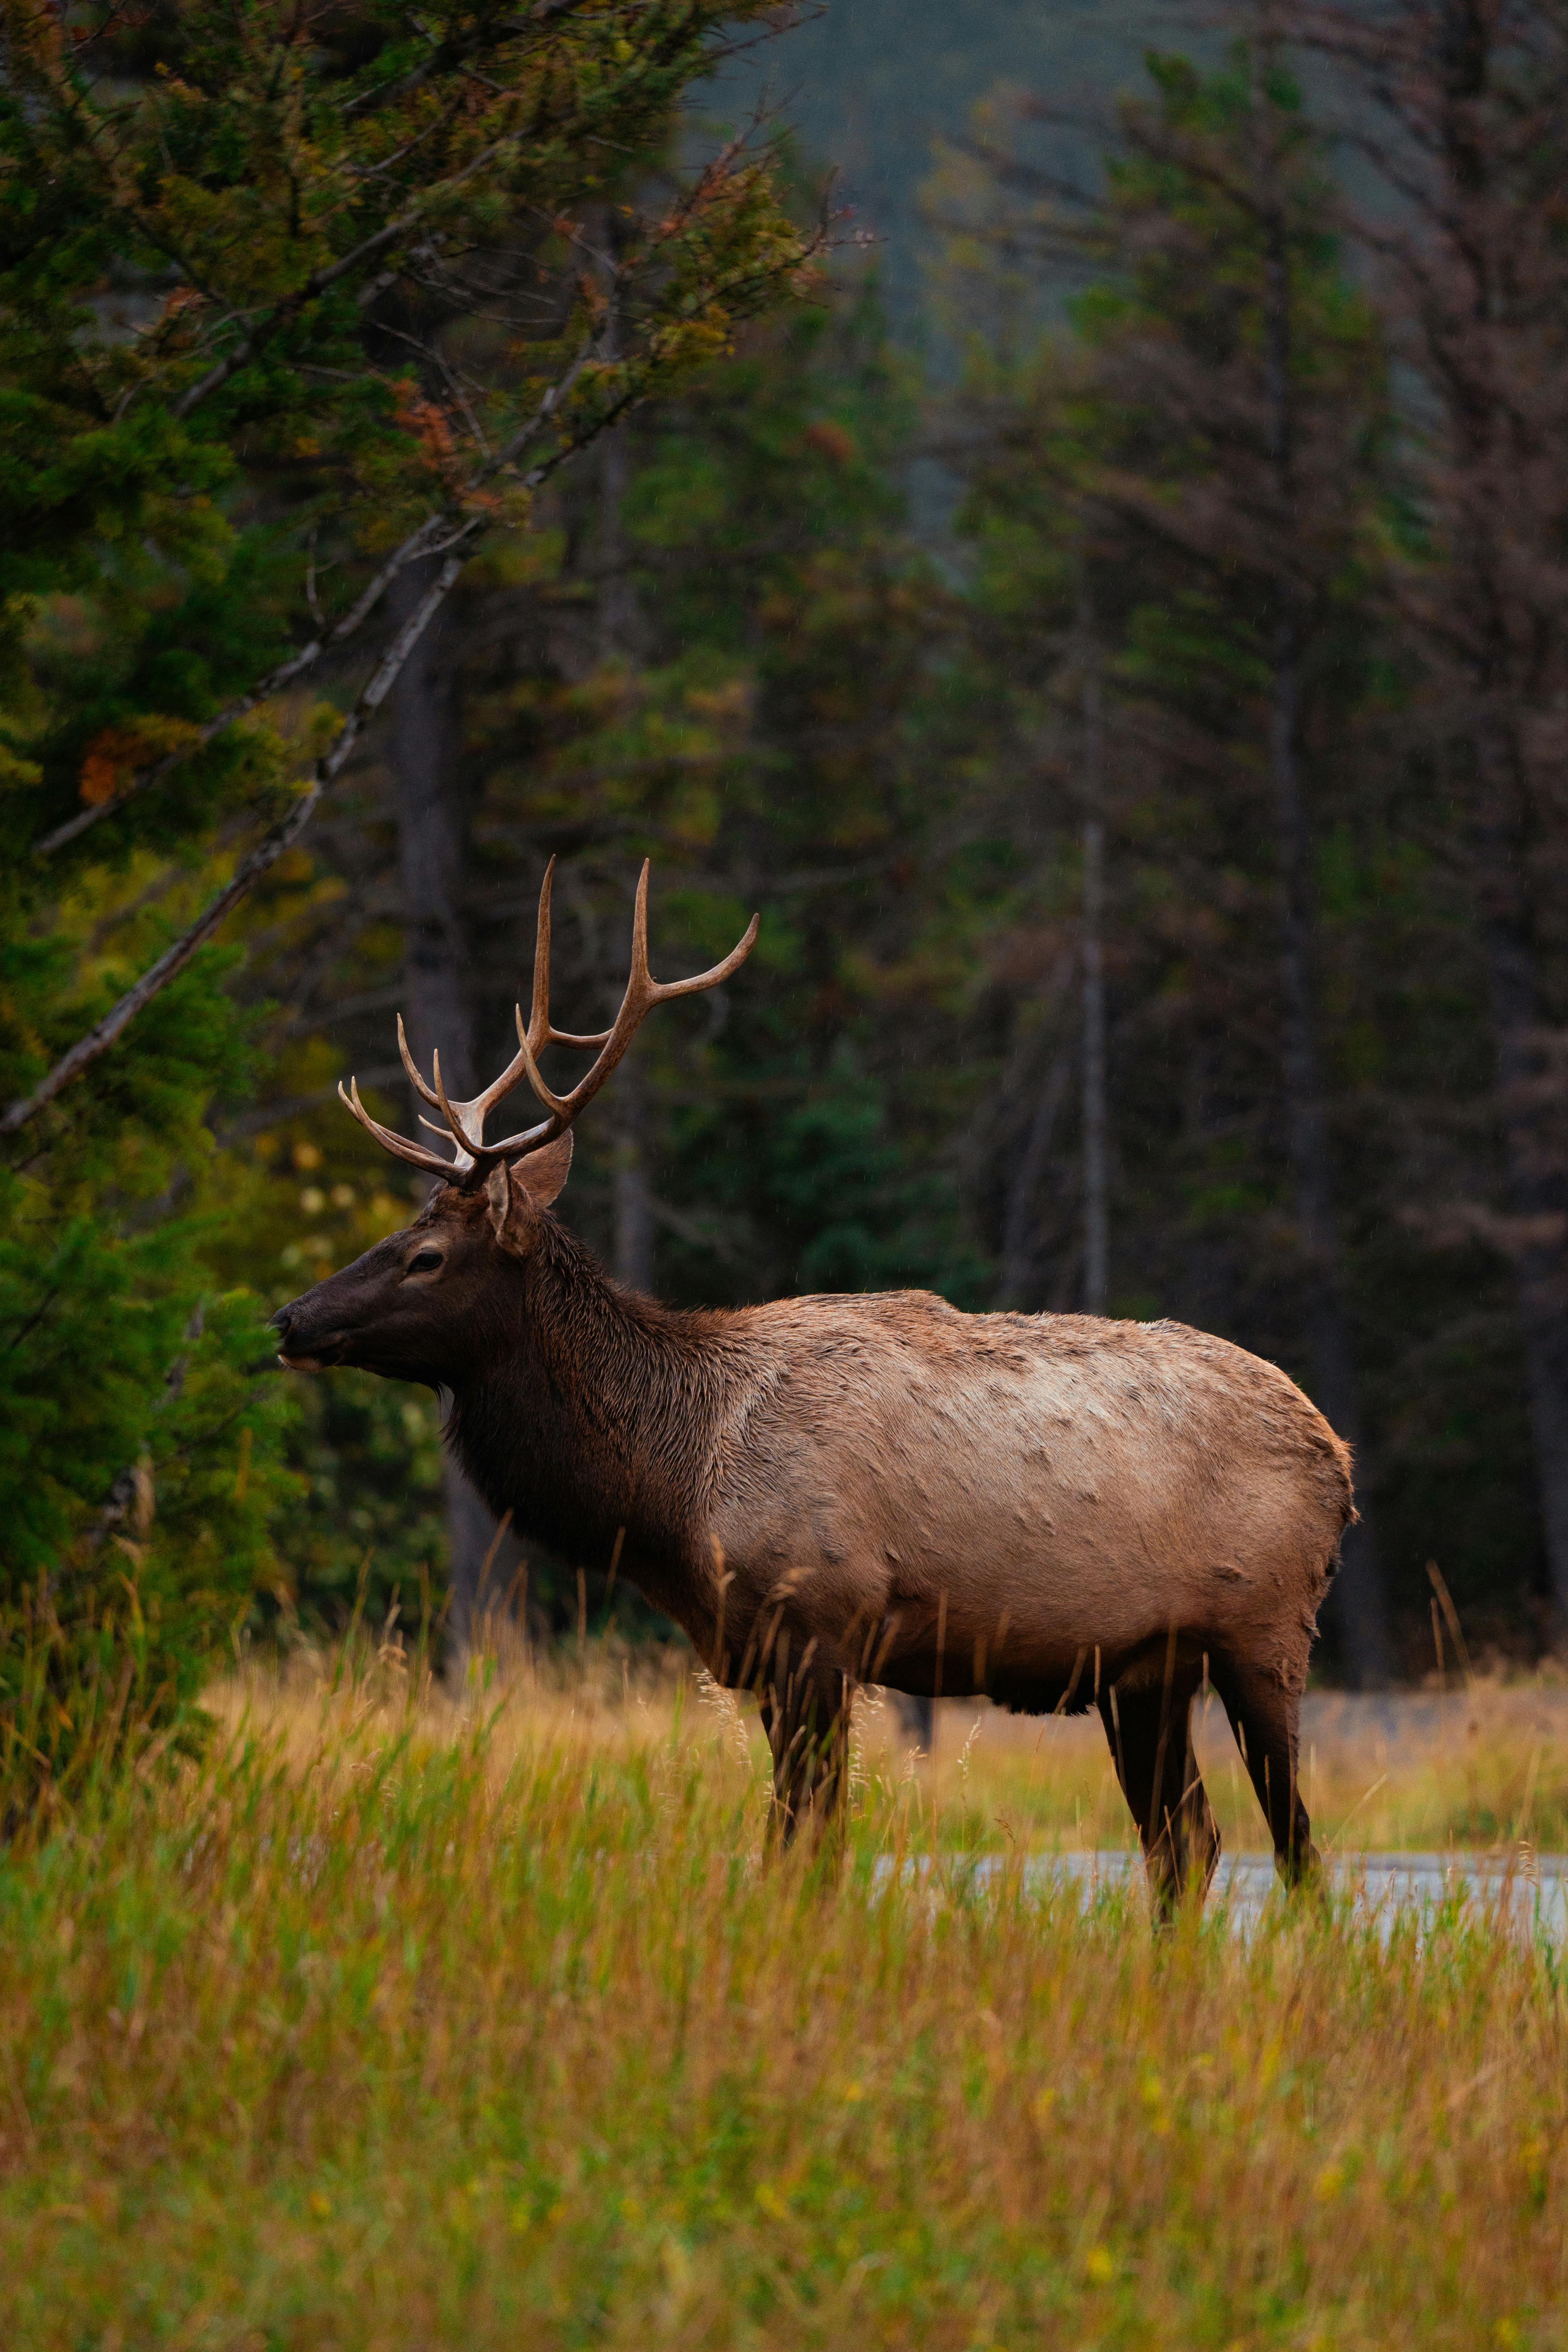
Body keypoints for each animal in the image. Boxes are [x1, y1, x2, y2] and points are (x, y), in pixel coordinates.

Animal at [271, 860, 1352, 1912]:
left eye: (425, 1256)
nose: (289, 1319)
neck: (670, 1491)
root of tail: (1338, 1458)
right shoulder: (760, 1652)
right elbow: (799, 1845)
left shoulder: (820, 1623)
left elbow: (806, 1849)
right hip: (1144, 1668)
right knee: (1186, 1845)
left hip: (1264, 1630)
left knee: (1295, 1847)